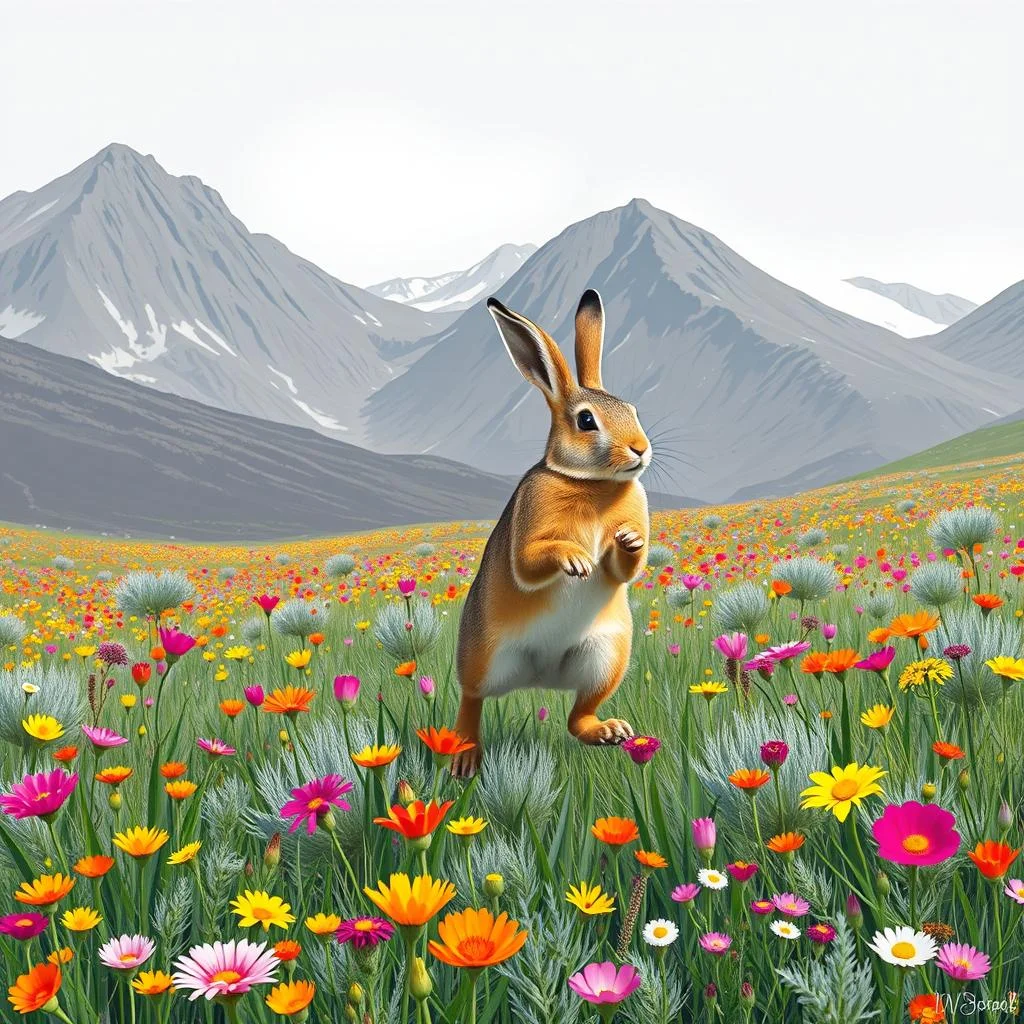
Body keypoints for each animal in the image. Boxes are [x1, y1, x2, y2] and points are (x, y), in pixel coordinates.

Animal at [451, 289, 652, 778]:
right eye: (586, 421)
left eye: (634, 410)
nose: (640, 449)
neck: (592, 484)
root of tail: (539, 678)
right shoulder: (529, 522)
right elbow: (529, 561)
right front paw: (575, 559)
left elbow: (624, 569)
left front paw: (630, 540)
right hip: (482, 655)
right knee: (471, 699)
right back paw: (464, 756)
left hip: (607, 655)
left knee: (577, 716)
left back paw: (610, 732)